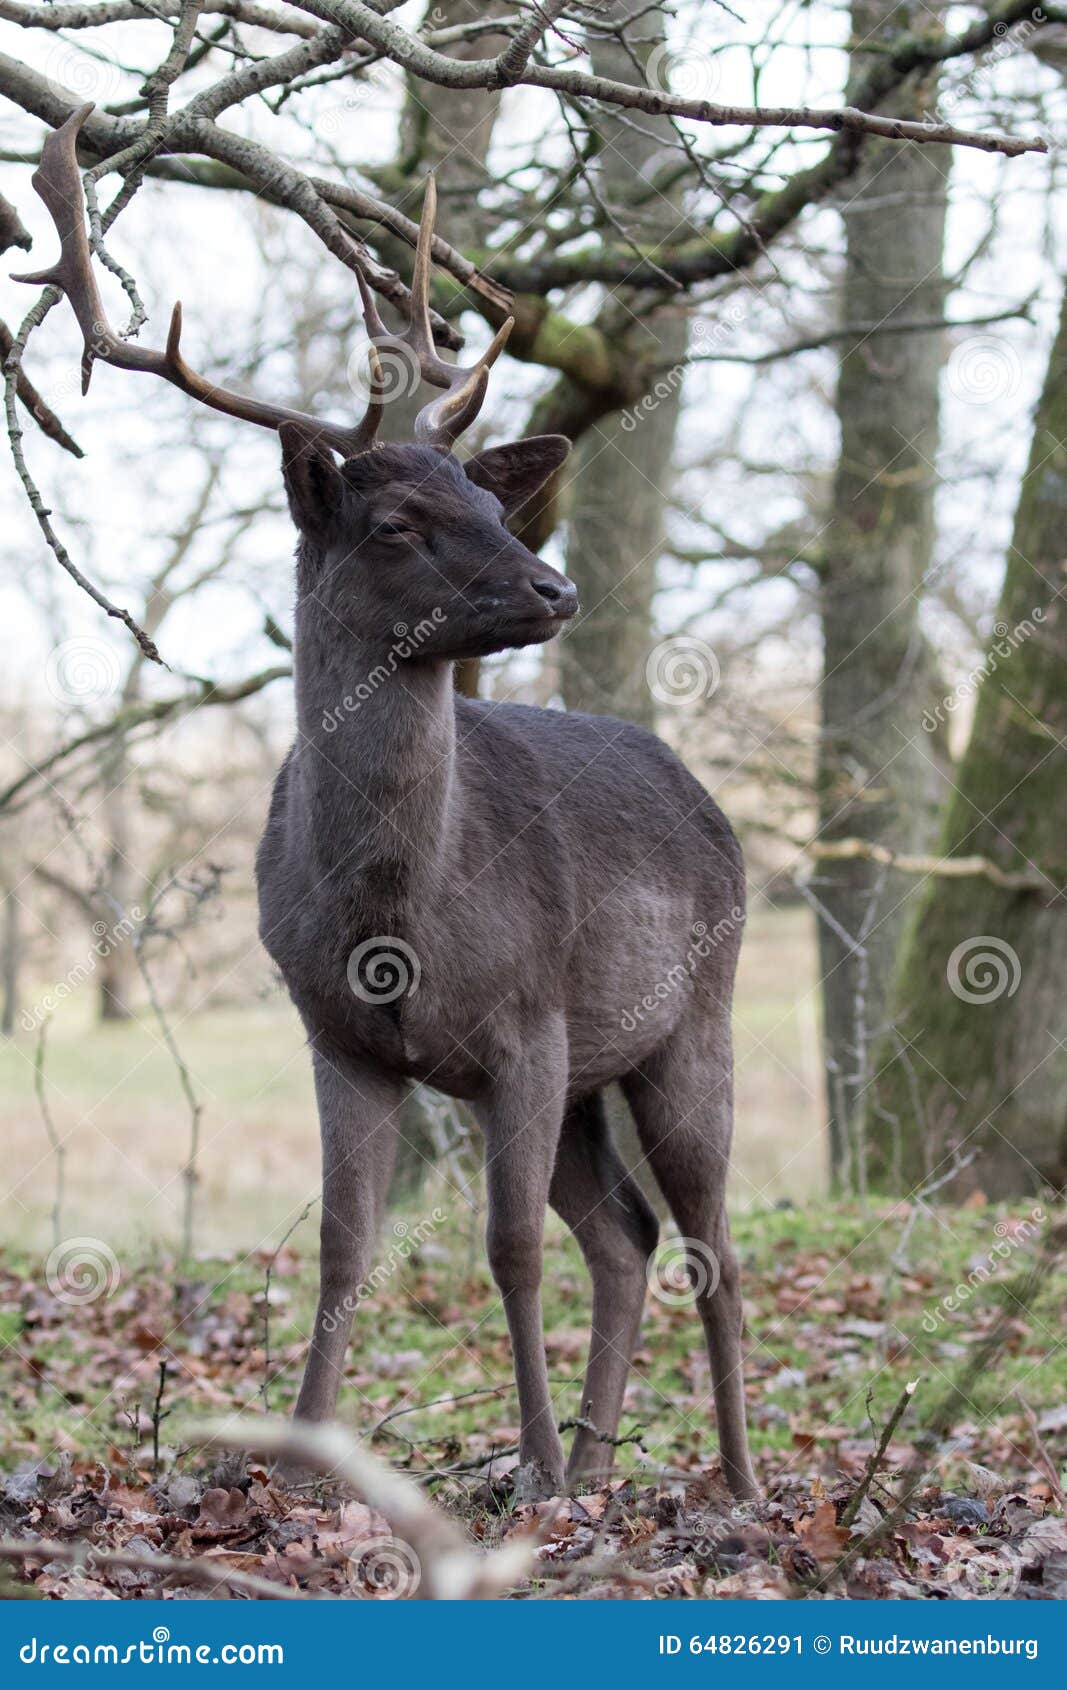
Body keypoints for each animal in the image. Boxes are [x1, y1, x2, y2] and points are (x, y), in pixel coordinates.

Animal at [18, 105, 758, 1501]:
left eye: (487, 496)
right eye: (400, 521)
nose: (553, 587)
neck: (396, 911)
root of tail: (710, 799)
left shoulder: (527, 1020)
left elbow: (507, 1246)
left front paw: (527, 1469)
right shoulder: (337, 1033)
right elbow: (343, 1244)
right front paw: (310, 1463)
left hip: (690, 1018)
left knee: (708, 1244)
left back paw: (730, 1483)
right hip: (596, 1073)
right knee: (628, 1234)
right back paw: (602, 1460)